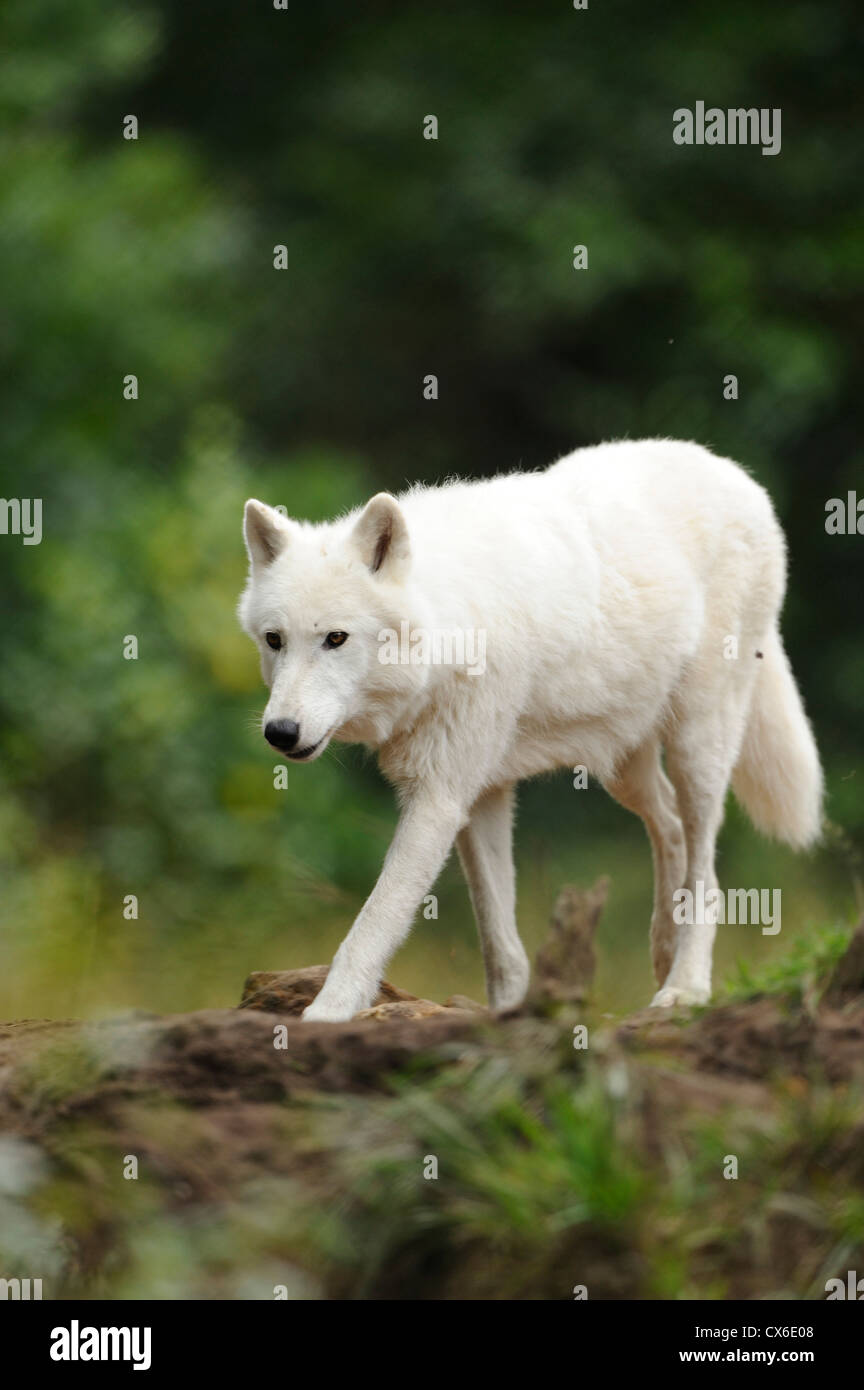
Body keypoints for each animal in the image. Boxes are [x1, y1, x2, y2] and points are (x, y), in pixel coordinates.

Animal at [238, 439, 822, 1022]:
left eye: (335, 638)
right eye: (274, 640)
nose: (280, 732)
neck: (451, 622)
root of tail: (736, 474)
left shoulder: (440, 797)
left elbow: (373, 923)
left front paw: (326, 1014)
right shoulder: (481, 795)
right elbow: (499, 939)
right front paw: (508, 1013)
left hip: (697, 744)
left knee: (707, 871)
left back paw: (685, 987)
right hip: (622, 767)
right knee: (671, 826)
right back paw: (661, 950)